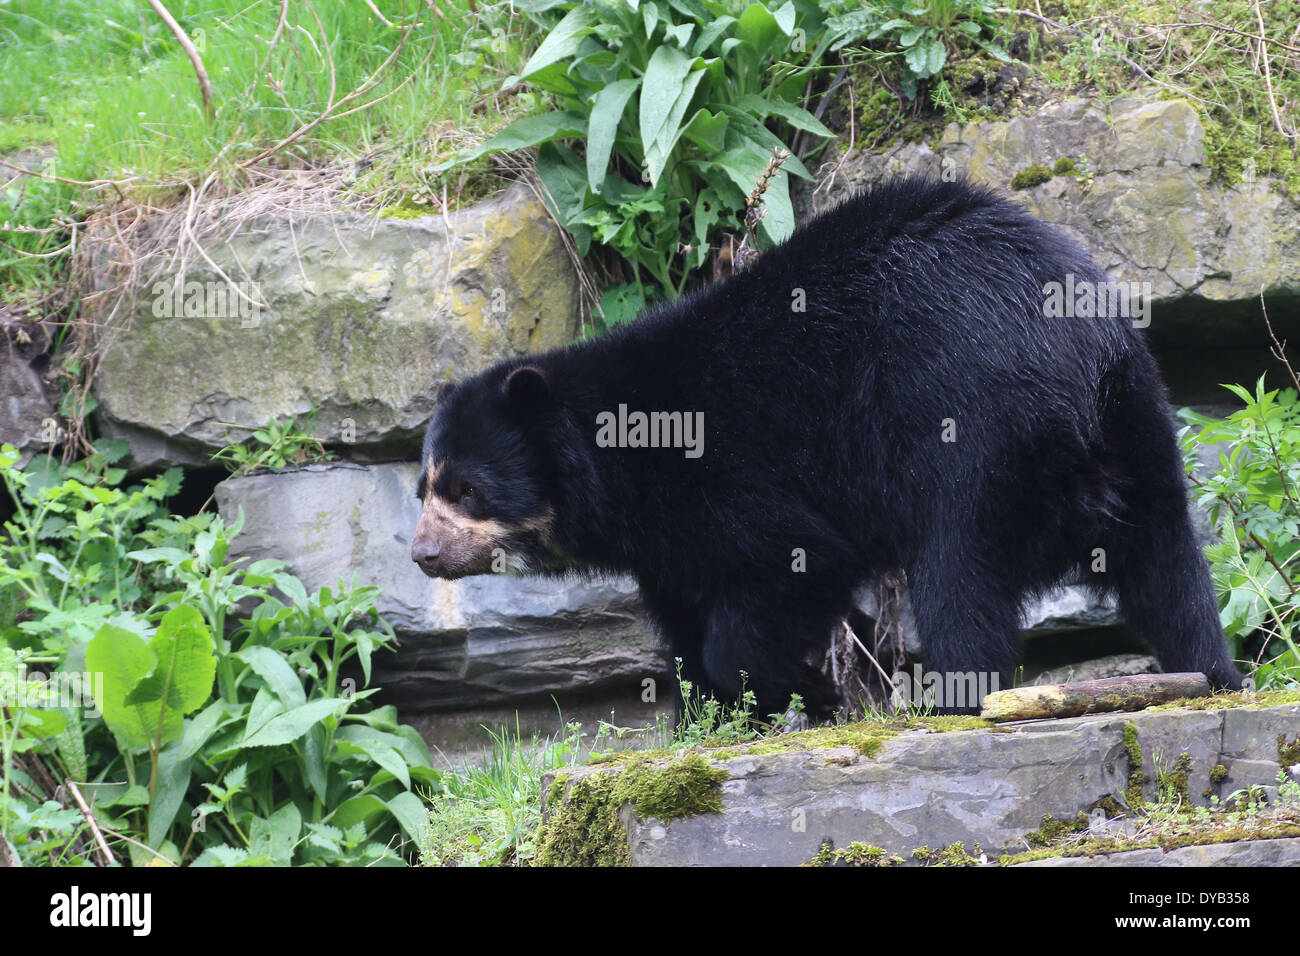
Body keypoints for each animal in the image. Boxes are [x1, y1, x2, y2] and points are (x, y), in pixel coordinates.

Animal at [410, 176, 1242, 717]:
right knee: (1169, 563)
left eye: (466, 490)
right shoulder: (667, 545)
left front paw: (803, 693)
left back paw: (957, 700)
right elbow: (683, 626)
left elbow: (786, 566)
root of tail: (1080, 343)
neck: (620, 464)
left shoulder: (733, 477)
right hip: (1136, 419)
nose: (421, 554)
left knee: (961, 572)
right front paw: (719, 715)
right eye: (423, 486)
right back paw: (1213, 674)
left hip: (975, 429)